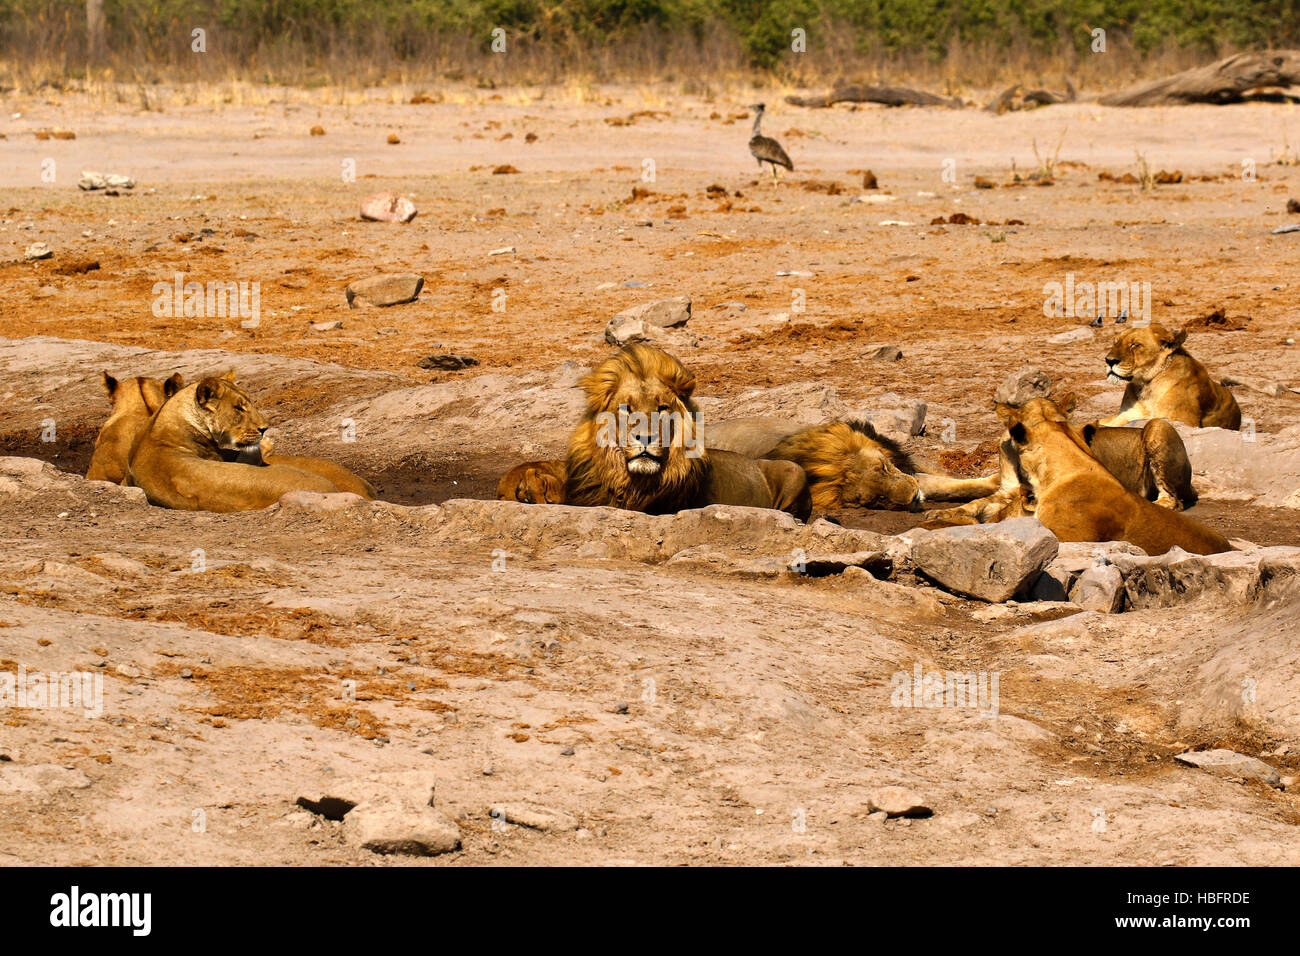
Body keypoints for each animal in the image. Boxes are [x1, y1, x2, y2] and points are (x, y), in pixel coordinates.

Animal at [1101, 324, 1241, 429]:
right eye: (1116, 342)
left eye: (1135, 344)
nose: (1109, 360)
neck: (1145, 387)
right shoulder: (1127, 414)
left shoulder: (1181, 421)